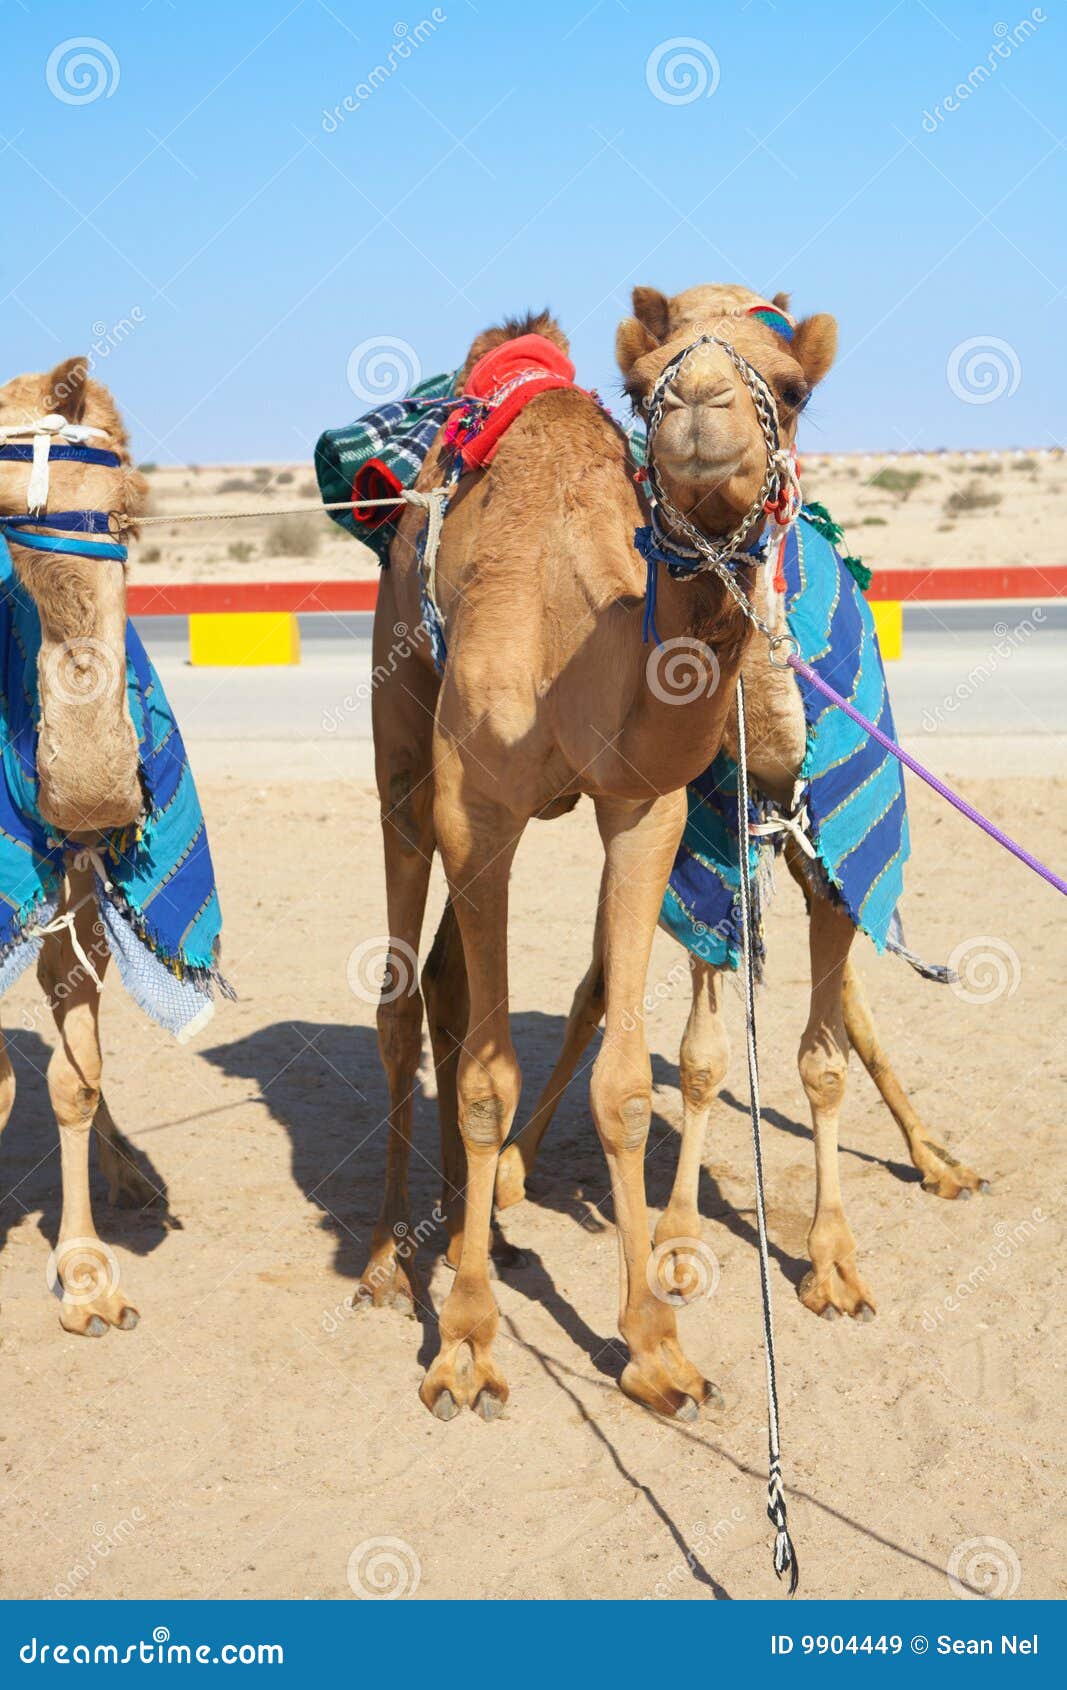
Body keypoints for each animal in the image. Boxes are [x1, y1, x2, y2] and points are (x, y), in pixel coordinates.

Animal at [359, 289, 838, 1420]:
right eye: (643, 381)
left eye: (793, 386)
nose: (701, 404)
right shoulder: (477, 807)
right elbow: (487, 1081)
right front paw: (466, 1345)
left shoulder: (640, 806)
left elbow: (621, 1087)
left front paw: (655, 1350)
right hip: (402, 739)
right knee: (400, 997)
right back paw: (387, 1261)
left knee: (443, 982)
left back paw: (470, 1228)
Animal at [491, 291, 990, 1322]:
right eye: (638, 388)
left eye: (794, 388)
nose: (699, 404)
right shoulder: (707, 848)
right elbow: (701, 1058)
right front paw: (680, 1244)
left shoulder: (834, 850)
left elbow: (822, 1056)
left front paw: (832, 1259)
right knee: (596, 988)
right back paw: (513, 1166)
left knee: (849, 1009)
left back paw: (938, 1159)